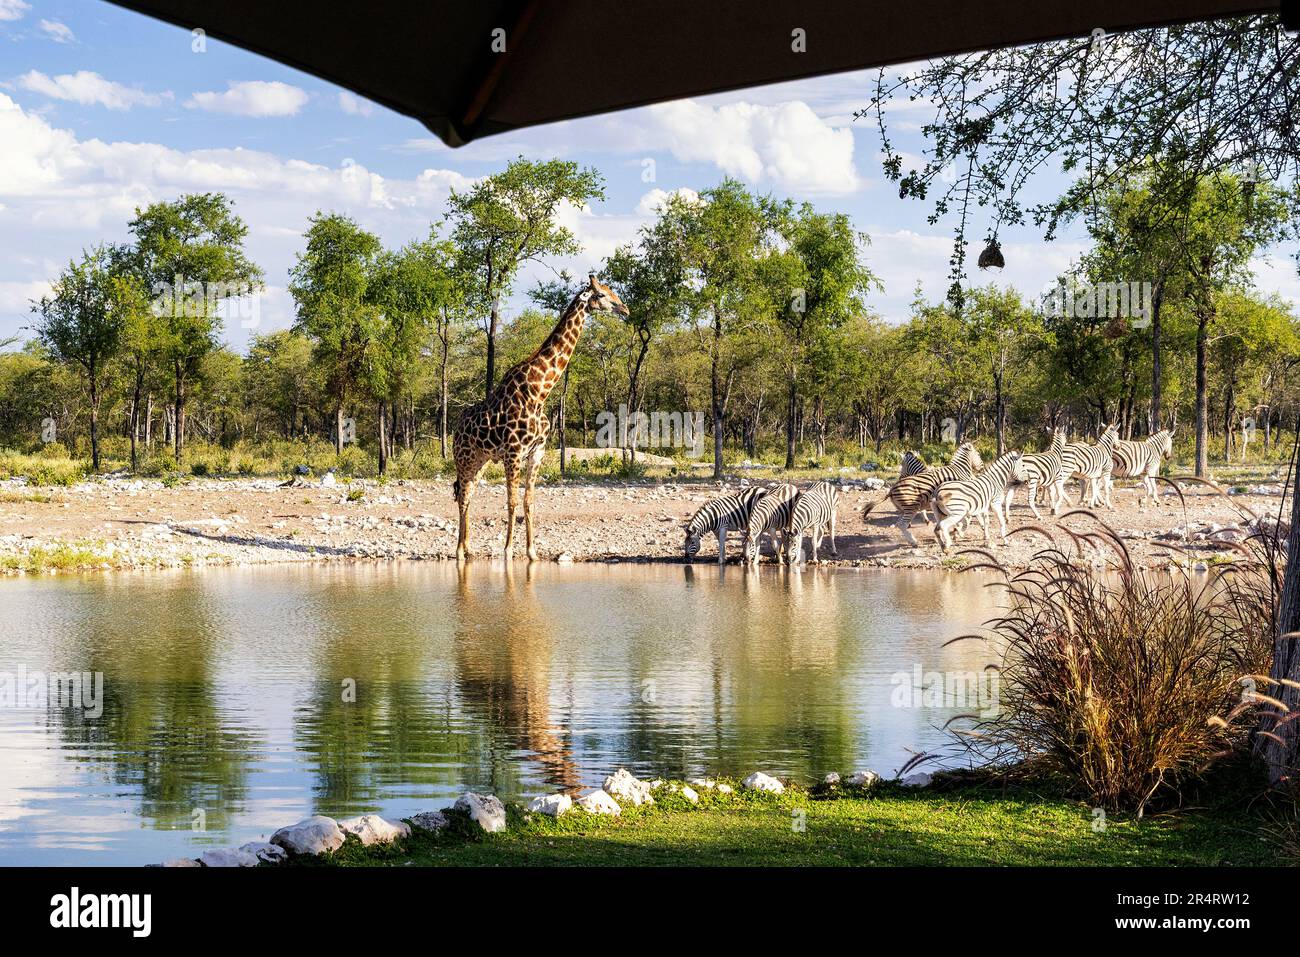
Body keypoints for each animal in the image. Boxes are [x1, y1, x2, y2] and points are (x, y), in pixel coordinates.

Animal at [453, 275, 628, 561]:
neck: (539, 392)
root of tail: (455, 429)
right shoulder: (513, 453)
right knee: (463, 496)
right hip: (464, 458)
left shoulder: (537, 452)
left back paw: (468, 548)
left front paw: (532, 551)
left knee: (468, 493)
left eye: (611, 291)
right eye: (601, 294)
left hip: (481, 460)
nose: (625, 309)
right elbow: (512, 501)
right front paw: (507, 550)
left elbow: (529, 501)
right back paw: (459, 551)